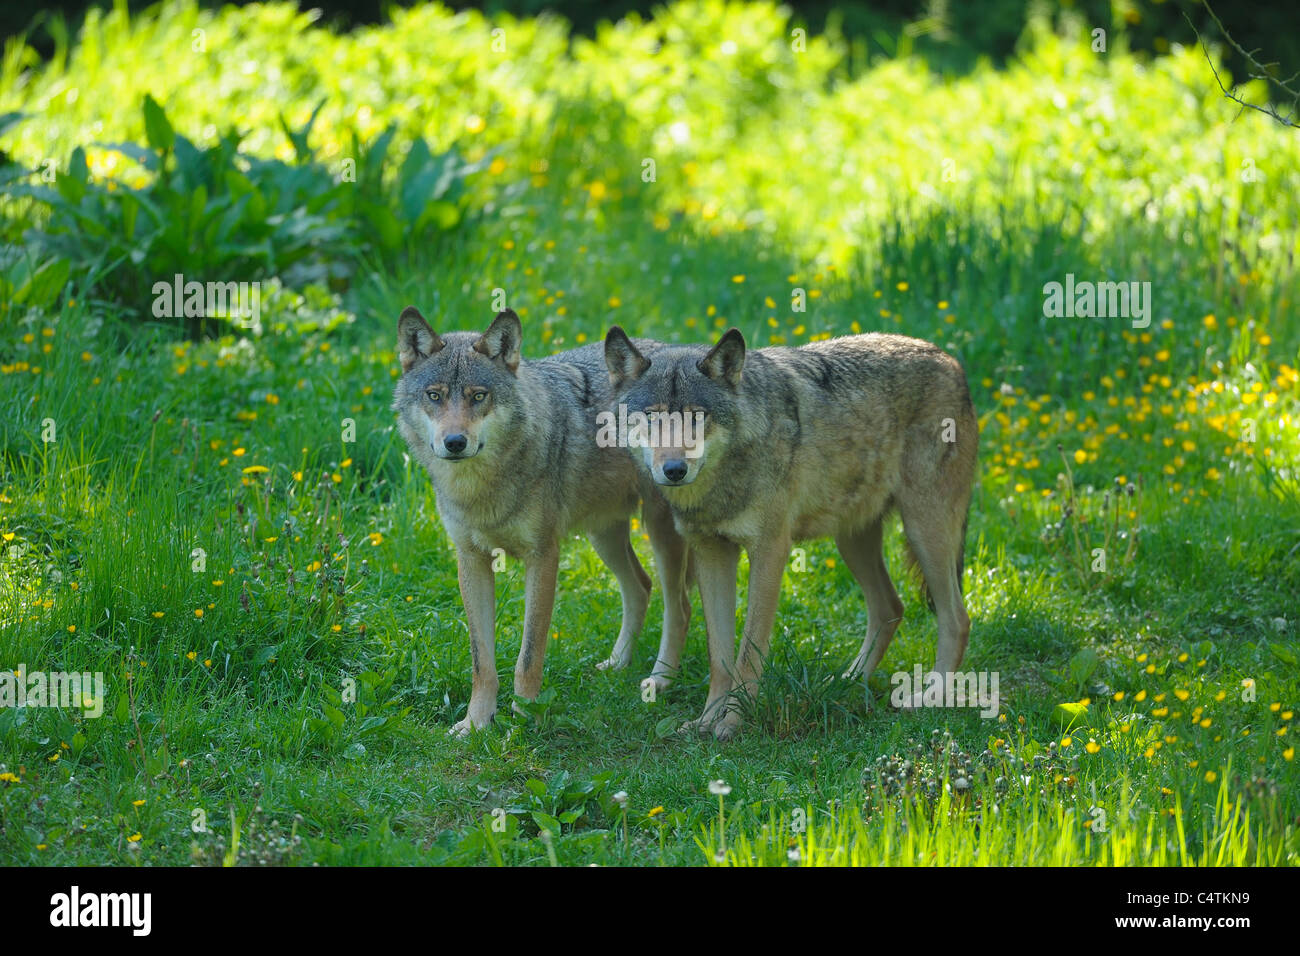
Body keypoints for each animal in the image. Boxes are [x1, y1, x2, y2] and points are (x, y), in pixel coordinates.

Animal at [394, 308, 692, 735]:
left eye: (478, 396)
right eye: (434, 395)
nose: (454, 443)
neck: (481, 489)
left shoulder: (543, 556)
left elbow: (529, 655)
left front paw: (524, 721)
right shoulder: (471, 560)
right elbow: (482, 662)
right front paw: (476, 723)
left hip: (660, 533)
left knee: (679, 606)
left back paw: (661, 679)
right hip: (604, 536)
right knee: (640, 587)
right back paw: (617, 664)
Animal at [604, 325, 978, 740]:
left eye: (697, 418)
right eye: (651, 418)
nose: (673, 470)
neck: (726, 477)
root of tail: (948, 358)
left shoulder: (770, 552)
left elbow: (749, 653)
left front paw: (732, 723)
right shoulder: (711, 552)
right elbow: (720, 655)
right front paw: (706, 720)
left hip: (924, 532)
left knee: (957, 618)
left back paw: (929, 697)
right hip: (853, 541)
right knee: (891, 608)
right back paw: (848, 682)